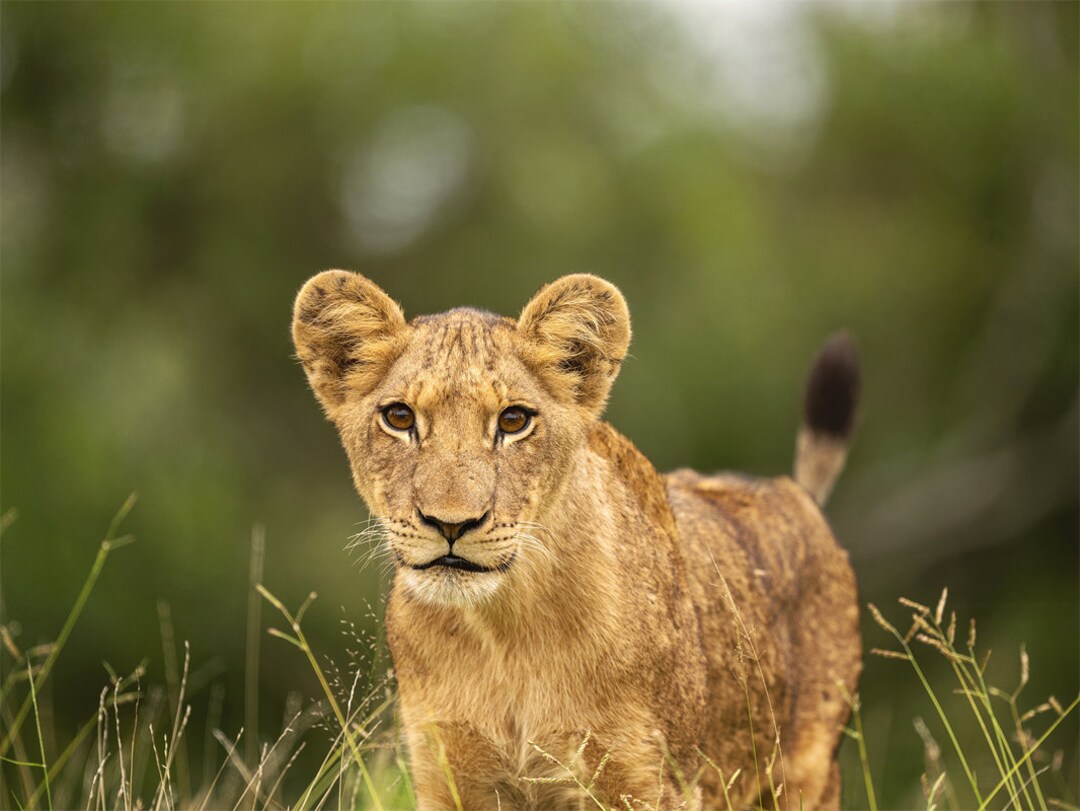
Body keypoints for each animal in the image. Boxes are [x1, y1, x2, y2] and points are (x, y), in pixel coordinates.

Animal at [291, 271, 862, 810]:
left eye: (513, 420)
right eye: (400, 417)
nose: (451, 524)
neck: (502, 634)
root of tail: (790, 491)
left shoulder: (649, 782)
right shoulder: (446, 773)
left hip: (807, 775)